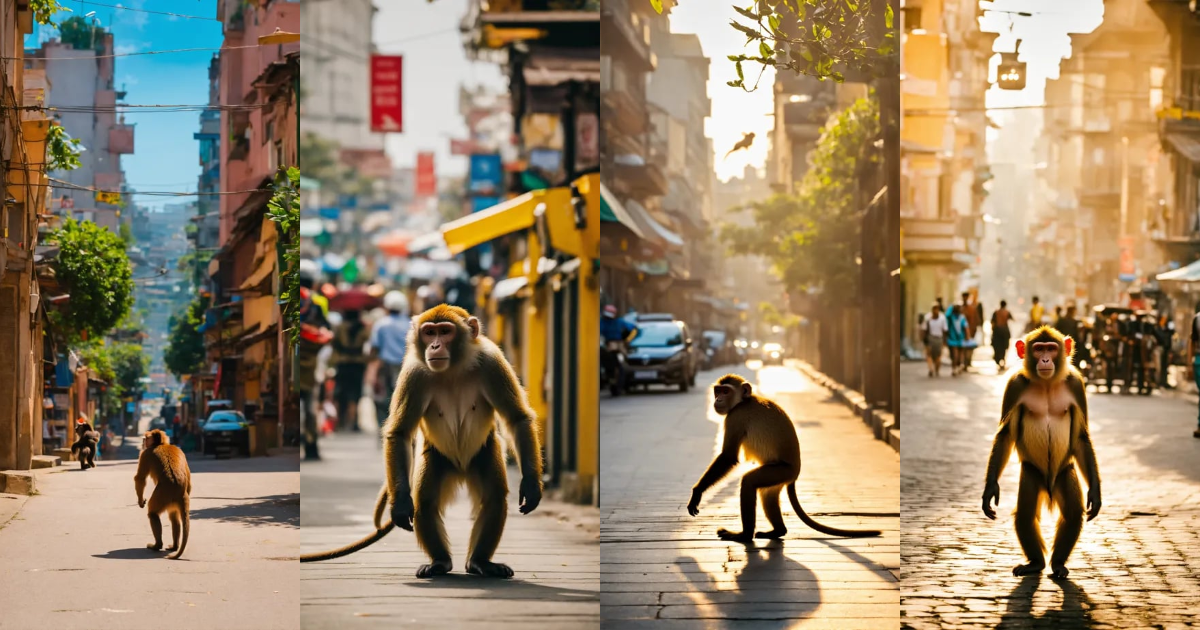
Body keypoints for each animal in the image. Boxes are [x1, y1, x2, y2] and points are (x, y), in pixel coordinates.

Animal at [134, 429, 192, 559]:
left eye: (146, 438)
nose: (143, 441)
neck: (161, 444)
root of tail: (179, 489)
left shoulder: (146, 453)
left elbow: (140, 478)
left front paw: (140, 500)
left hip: (162, 494)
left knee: (153, 514)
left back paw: (157, 545)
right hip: (172, 499)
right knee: (174, 518)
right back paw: (175, 546)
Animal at [299, 304, 543, 579]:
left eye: (445, 331)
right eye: (429, 333)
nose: (435, 346)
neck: (453, 368)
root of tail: (460, 469)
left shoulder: (493, 362)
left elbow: (517, 418)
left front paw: (532, 485)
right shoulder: (413, 373)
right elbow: (401, 433)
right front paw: (400, 504)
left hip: (484, 451)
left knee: (494, 498)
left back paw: (479, 562)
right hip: (436, 455)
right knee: (425, 503)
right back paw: (440, 561)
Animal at [687, 374, 881, 542]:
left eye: (726, 392)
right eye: (718, 391)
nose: (718, 400)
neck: (743, 401)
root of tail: (795, 472)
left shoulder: (736, 417)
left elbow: (728, 456)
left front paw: (697, 492)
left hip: (781, 471)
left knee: (749, 481)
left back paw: (745, 535)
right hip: (780, 476)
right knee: (767, 493)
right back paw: (778, 531)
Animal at [983, 326, 1101, 578]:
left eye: (1051, 349)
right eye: (1038, 349)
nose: (1045, 359)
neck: (1046, 384)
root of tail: (1048, 486)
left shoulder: (1077, 384)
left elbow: (1081, 437)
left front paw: (1095, 495)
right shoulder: (1015, 385)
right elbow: (1005, 434)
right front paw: (990, 489)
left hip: (1065, 472)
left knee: (1073, 514)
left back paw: (1058, 564)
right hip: (1031, 472)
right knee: (1025, 513)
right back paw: (1036, 562)